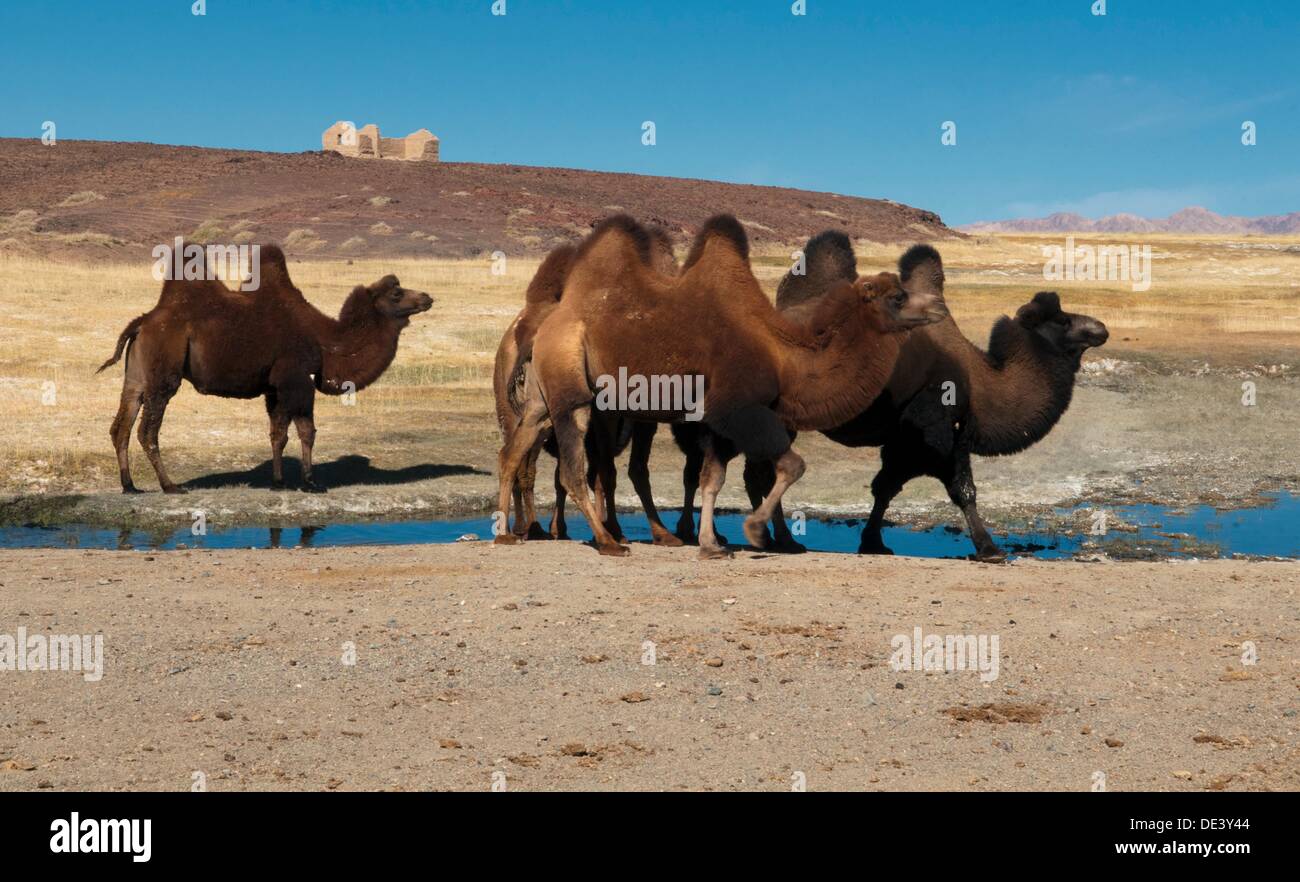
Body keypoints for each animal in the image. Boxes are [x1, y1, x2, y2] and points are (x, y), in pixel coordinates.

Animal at [97, 245, 433, 493]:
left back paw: (130, 486)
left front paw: (278, 482)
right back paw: (170, 486)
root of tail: (142, 322)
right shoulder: (297, 378)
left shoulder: (274, 386)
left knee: (121, 426)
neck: (328, 341)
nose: (427, 297)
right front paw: (311, 483)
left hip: (137, 376)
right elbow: (307, 431)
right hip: (164, 372)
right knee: (147, 430)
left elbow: (277, 434)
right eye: (396, 294)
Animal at [495, 214, 949, 558]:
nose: (939, 308)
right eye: (897, 297)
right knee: (572, 466)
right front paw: (754, 531)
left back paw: (505, 534)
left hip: (541, 396)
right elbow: (791, 465)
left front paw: (711, 544)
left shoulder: (714, 421)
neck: (785, 358)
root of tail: (542, 328)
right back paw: (608, 541)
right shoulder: (738, 408)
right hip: (573, 388)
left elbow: (712, 479)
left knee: (515, 450)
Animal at [743, 231, 1108, 561]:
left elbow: (885, 488)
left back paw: (769, 538)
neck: (981, 382)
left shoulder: (907, 439)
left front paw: (874, 543)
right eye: (1063, 321)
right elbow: (961, 490)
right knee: (764, 471)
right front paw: (989, 549)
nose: (1101, 328)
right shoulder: (933, 428)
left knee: (755, 471)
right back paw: (784, 540)